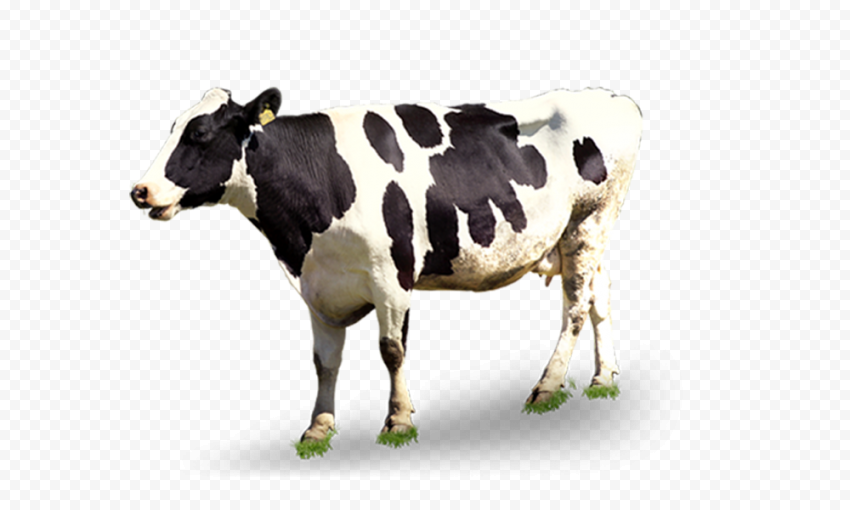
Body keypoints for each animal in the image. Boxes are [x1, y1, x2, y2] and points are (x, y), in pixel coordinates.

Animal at [130, 87, 642, 456]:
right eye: (173, 127)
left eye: (198, 134)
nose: (140, 190)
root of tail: (613, 97)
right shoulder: (319, 285)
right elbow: (324, 362)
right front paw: (319, 427)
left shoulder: (391, 276)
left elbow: (392, 351)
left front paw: (398, 420)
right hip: (582, 236)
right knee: (600, 295)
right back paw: (603, 377)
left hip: (588, 221)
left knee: (574, 307)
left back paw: (547, 387)